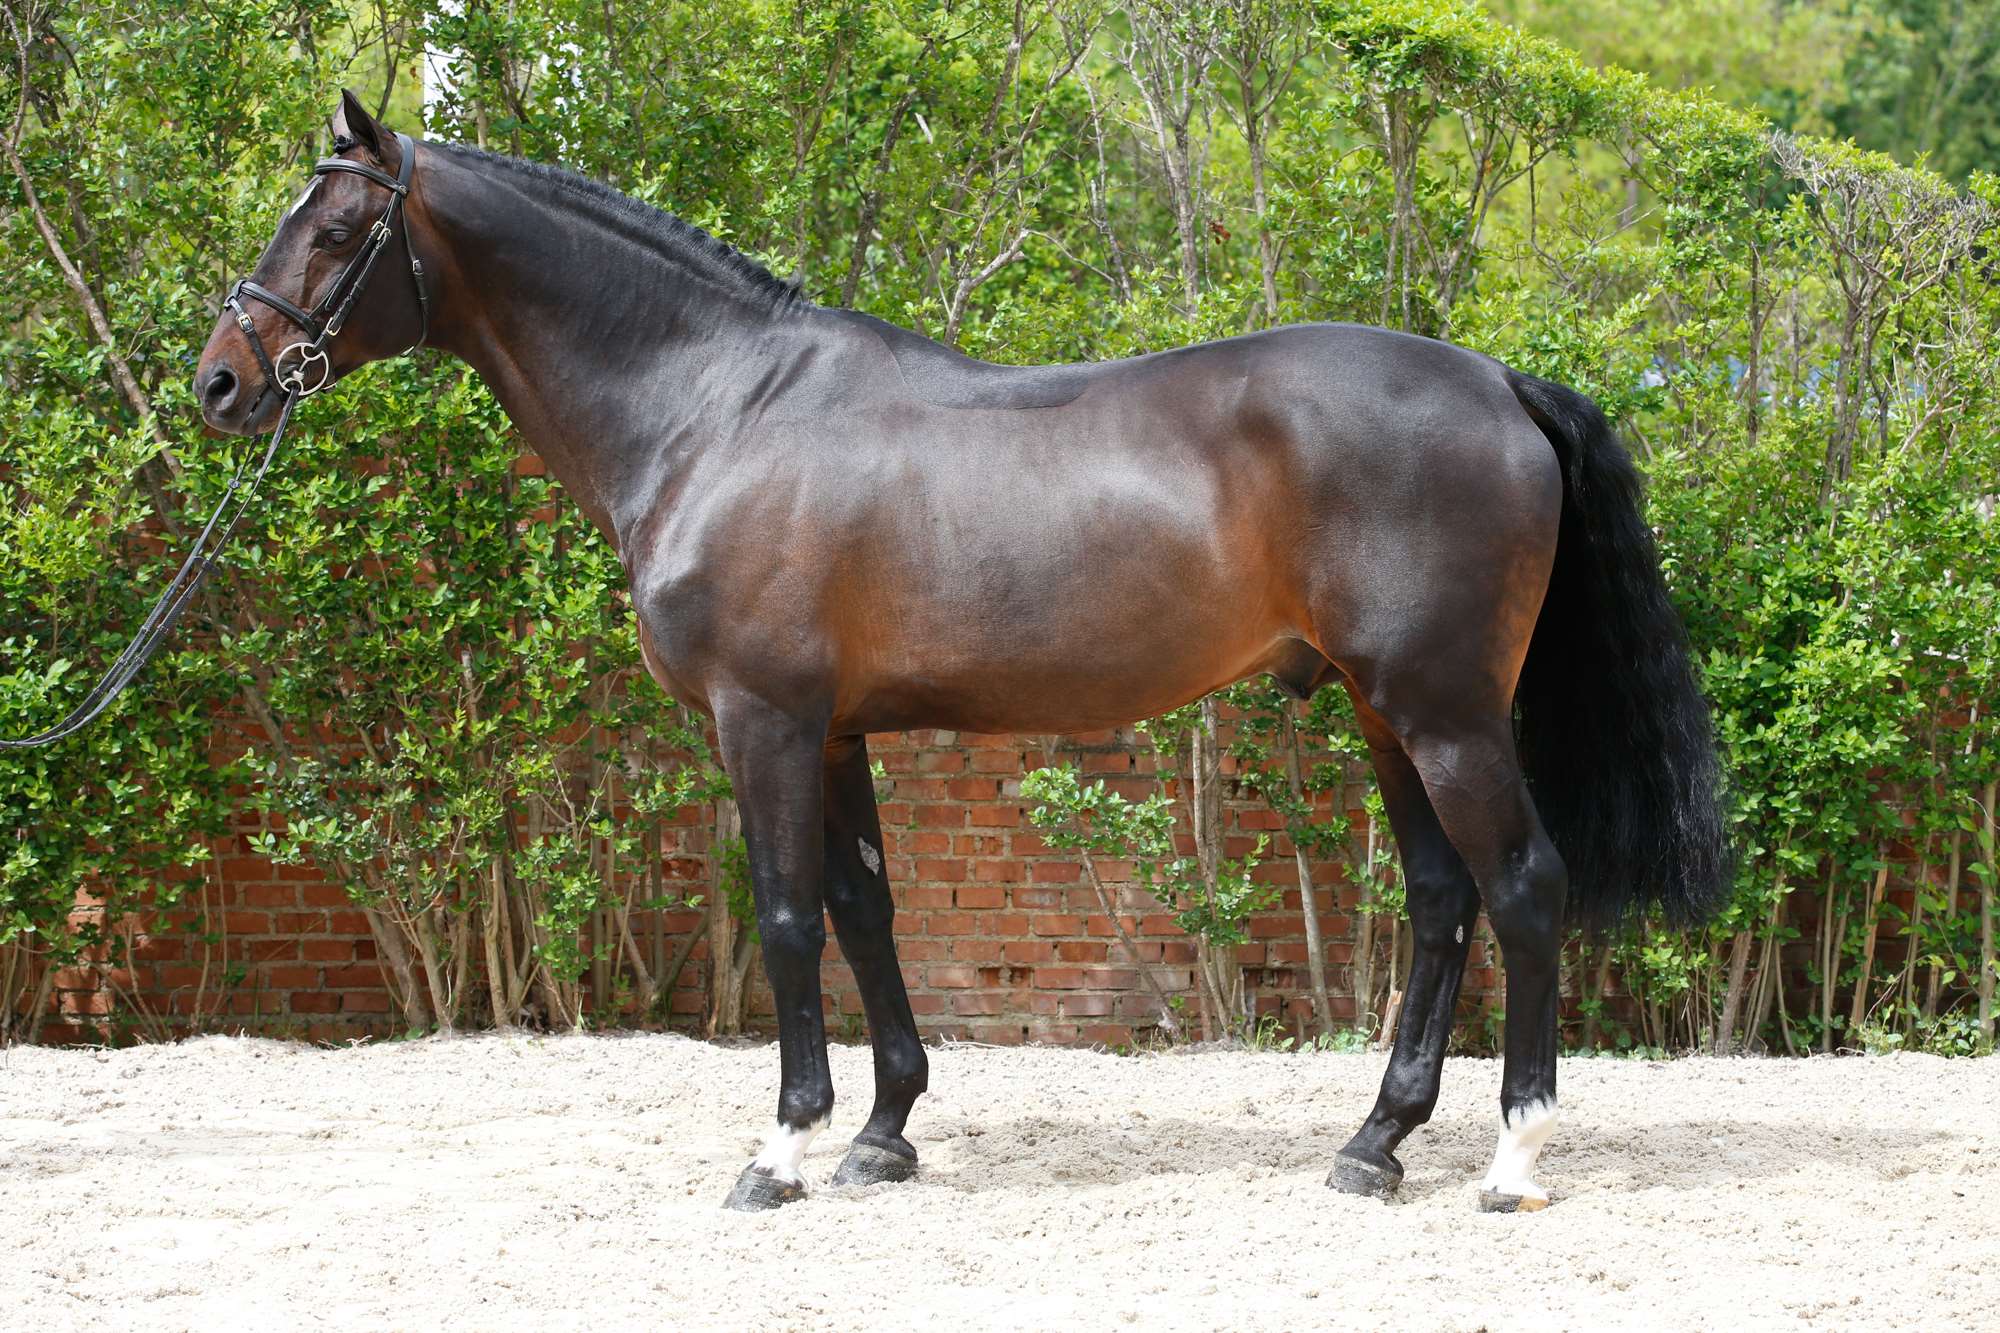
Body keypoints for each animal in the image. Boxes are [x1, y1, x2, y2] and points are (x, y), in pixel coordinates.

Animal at [194, 91, 1727, 1213]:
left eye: (337, 227)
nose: (220, 381)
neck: (717, 408)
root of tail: (1499, 381)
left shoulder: (760, 717)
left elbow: (786, 916)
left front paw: (780, 1152)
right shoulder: (830, 725)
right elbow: (866, 910)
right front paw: (881, 1132)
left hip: (1444, 709)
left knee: (1521, 888)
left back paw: (1512, 1160)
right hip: (1381, 708)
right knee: (1439, 898)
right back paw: (1372, 1144)